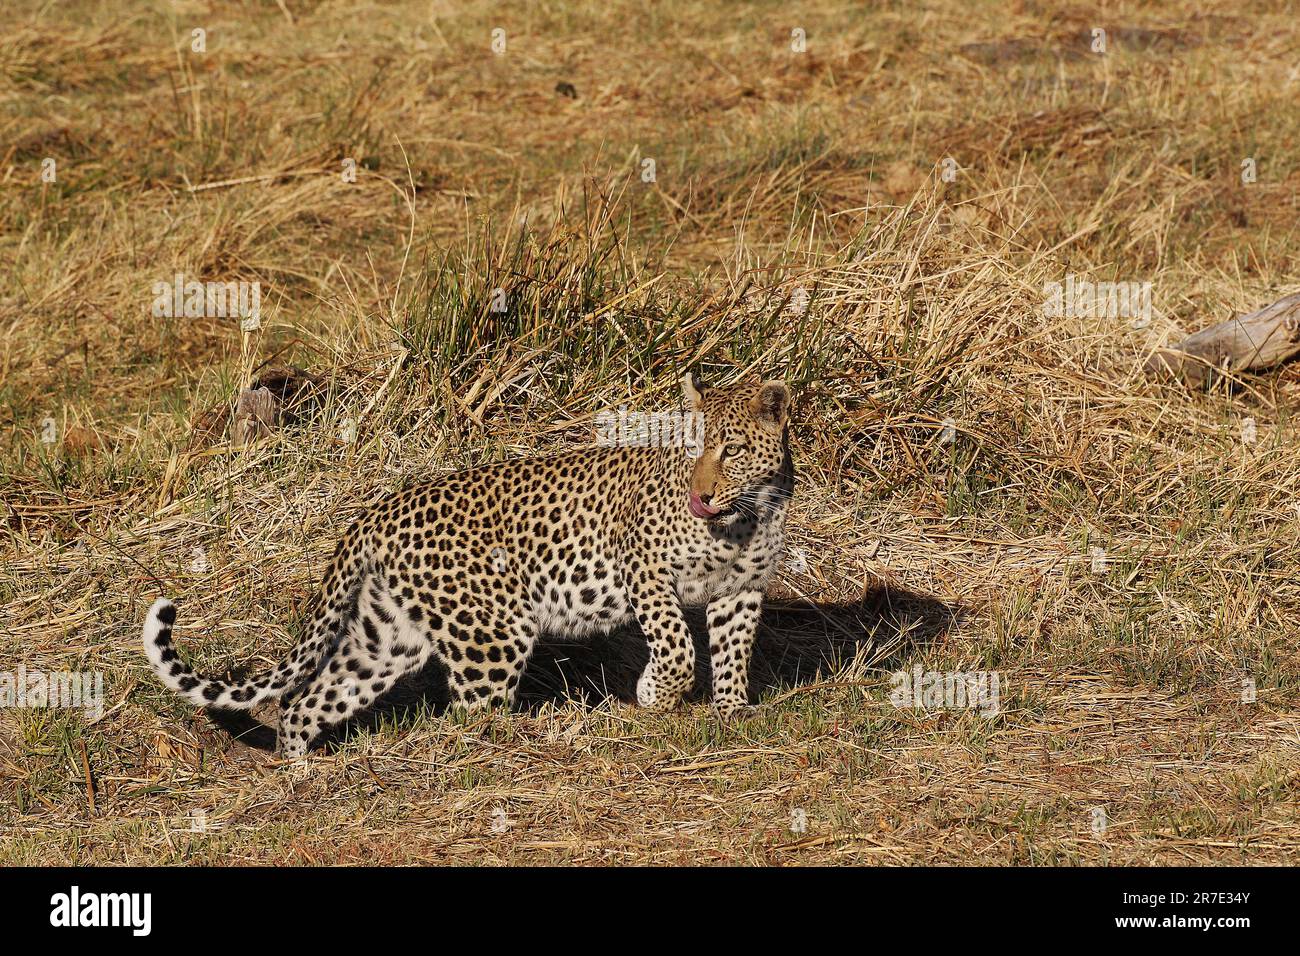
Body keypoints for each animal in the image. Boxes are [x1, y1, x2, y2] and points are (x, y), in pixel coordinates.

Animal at [143, 373, 795, 758]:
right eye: (692, 450)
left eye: (732, 451)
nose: (701, 495)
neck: (745, 515)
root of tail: (375, 511)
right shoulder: (644, 569)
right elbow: (678, 647)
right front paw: (655, 694)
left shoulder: (742, 591)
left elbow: (733, 652)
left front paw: (732, 712)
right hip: (495, 632)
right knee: (464, 715)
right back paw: (508, 742)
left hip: (387, 635)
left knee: (309, 699)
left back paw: (300, 772)